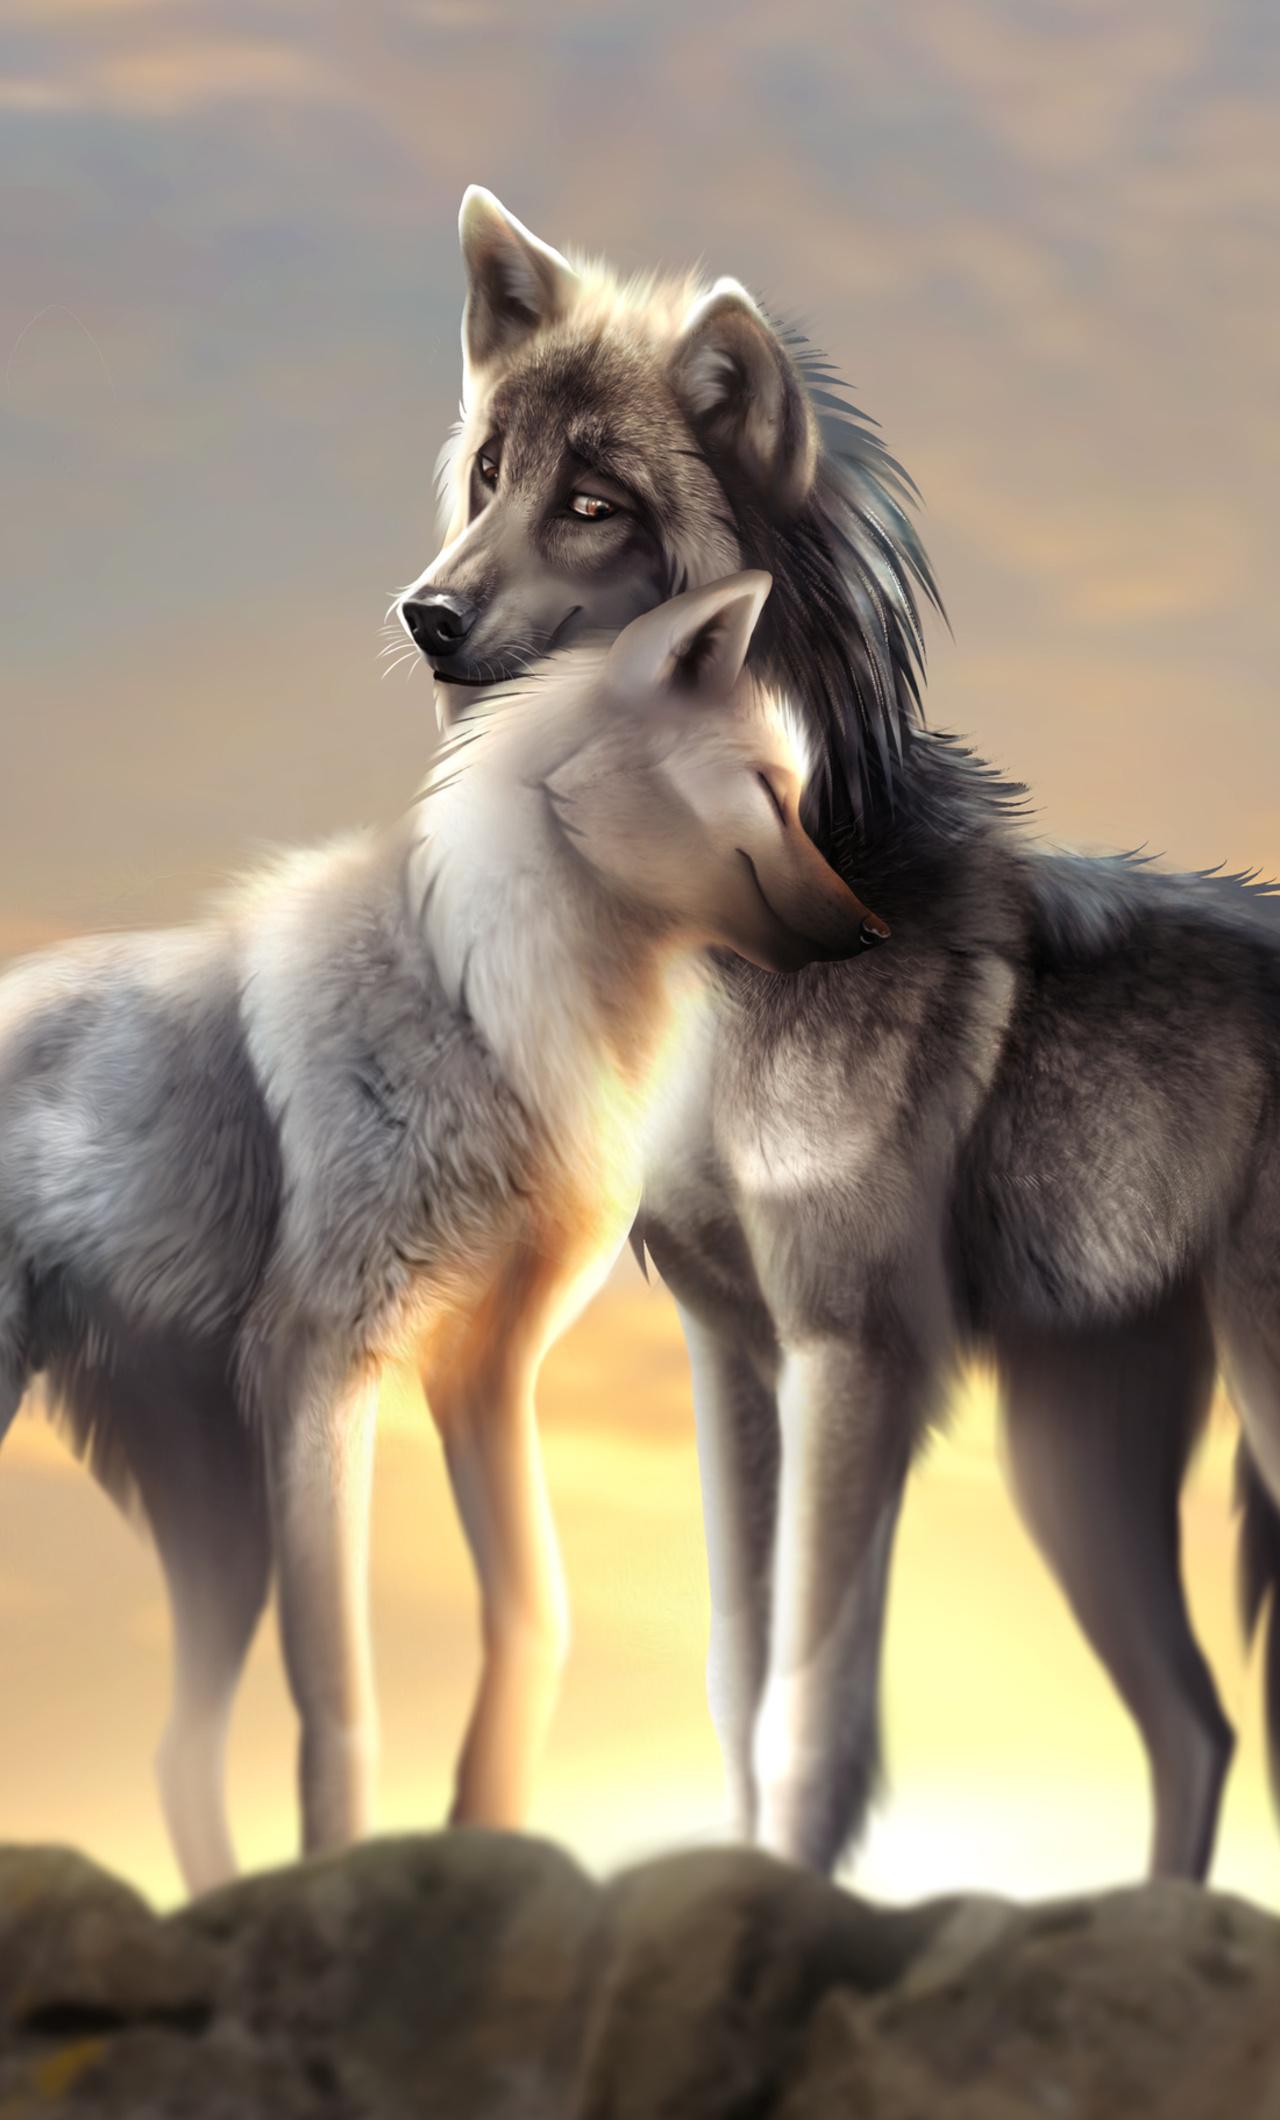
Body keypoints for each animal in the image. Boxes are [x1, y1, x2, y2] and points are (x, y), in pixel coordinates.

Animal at [0, 572, 877, 1895]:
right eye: (770, 790)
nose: (872, 932)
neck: (485, 1000)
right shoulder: (323, 1365)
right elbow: (337, 1688)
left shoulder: (486, 1371)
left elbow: (535, 1614)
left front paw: (484, 1835)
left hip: (217, 1523)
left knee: (175, 1742)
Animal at [398, 185, 1280, 1883]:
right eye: (487, 477)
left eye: (592, 503)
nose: (424, 613)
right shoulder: (733, 1355)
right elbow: (739, 1677)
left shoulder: (848, 1352)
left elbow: (811, 1705)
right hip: (1073, 1462)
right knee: (1197, 1723)